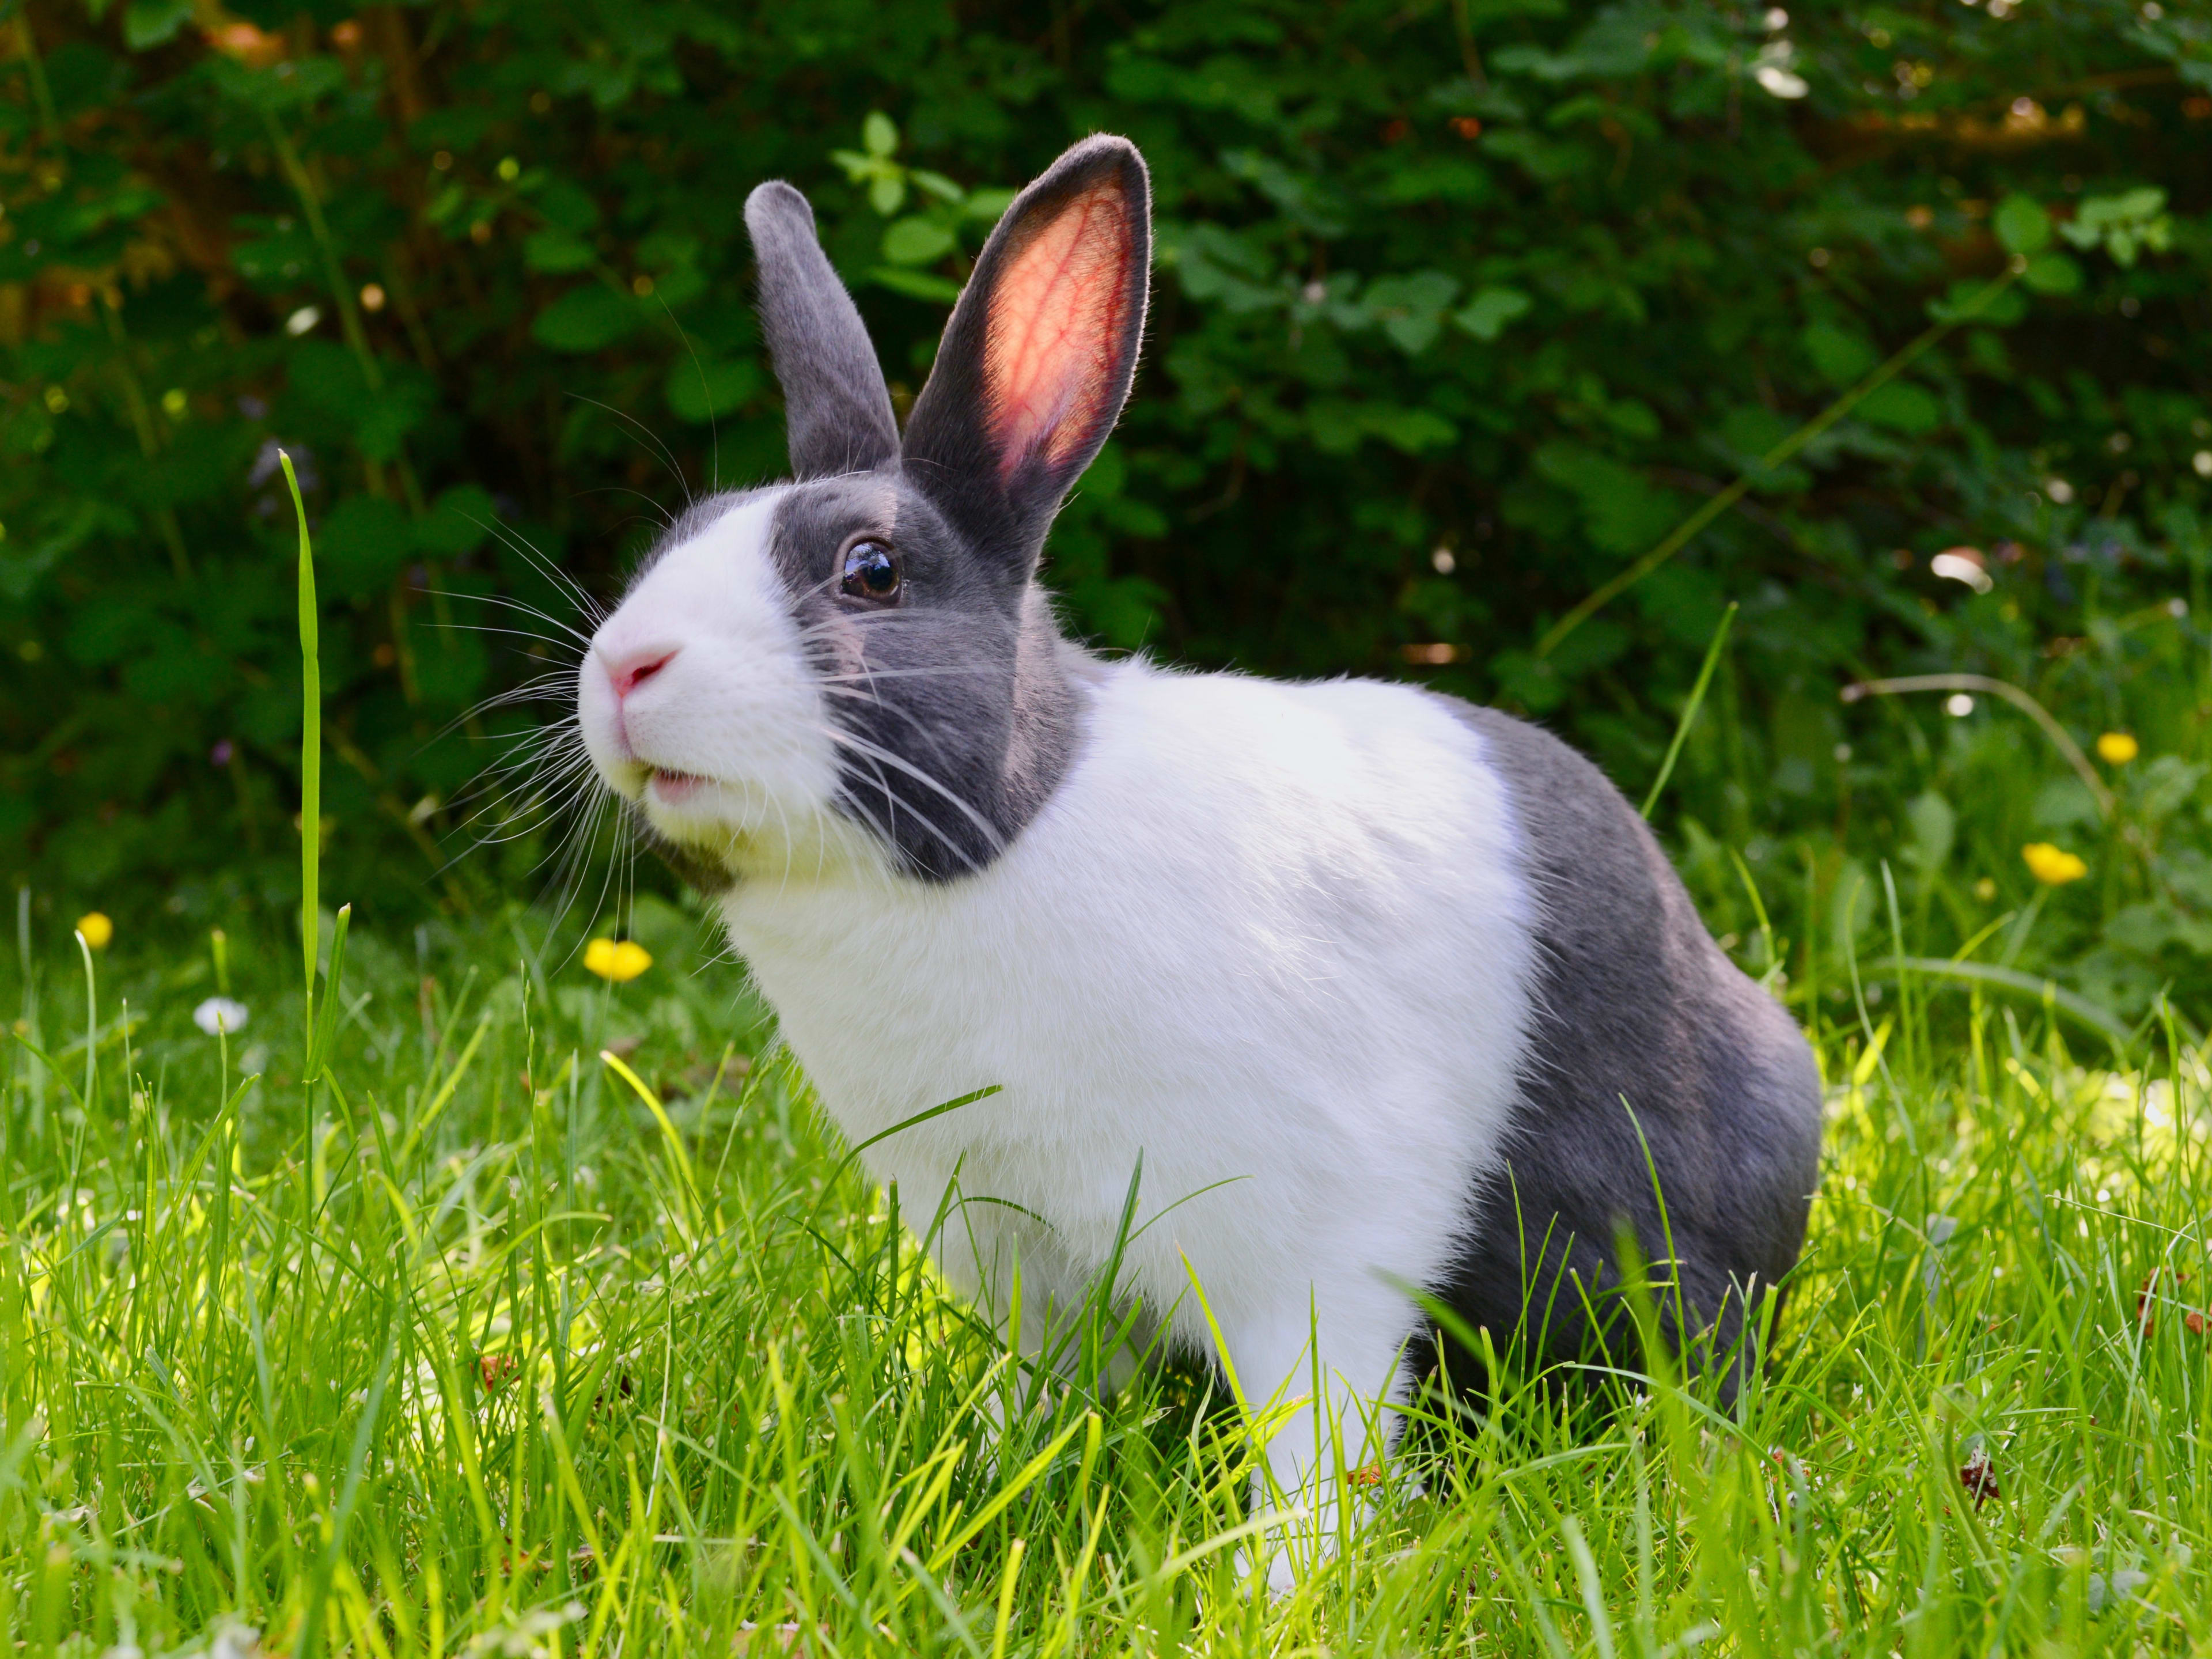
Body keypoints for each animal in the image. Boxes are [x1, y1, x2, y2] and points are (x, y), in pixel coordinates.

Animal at [574, 134, 1823, 1588]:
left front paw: (1285, 1586)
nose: (624, 668)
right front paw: (987, 1488)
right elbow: (1038, 1395)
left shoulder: (1307, 1250)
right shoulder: (1011, 1248)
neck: (1002, 843)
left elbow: (1317, 1430)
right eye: (676, 540)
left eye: (870, 571)